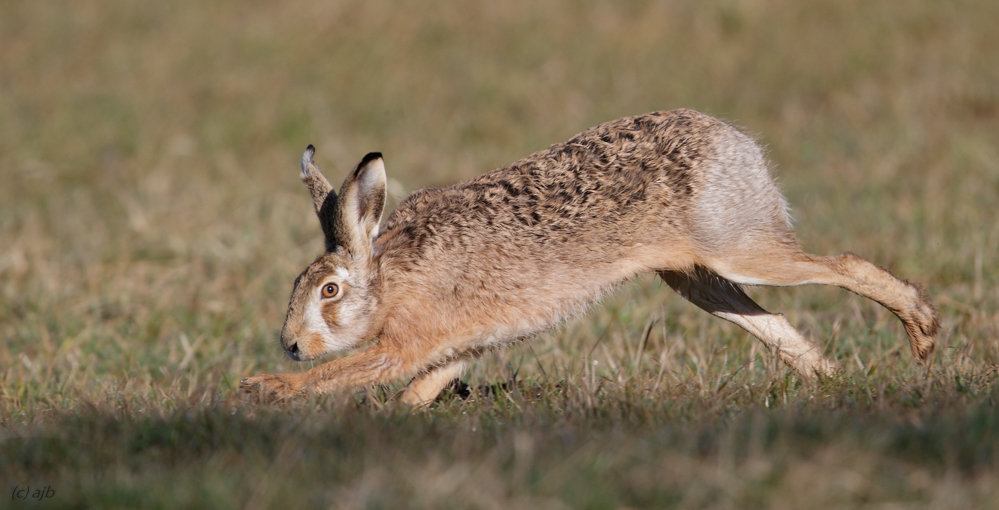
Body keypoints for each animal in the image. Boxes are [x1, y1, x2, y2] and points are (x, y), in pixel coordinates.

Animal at [240, 109, 938, 404]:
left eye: (329, 291)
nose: (291, 345)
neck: (386, 278)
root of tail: (737, 142)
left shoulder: (409, 341)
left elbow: (360, 370)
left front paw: (266, 388)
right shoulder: (462, 340)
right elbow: (425, 386)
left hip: (740, 248)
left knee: (841, 264)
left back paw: (923, 332)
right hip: (696, 278)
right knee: (772, 323)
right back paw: (835, 384)